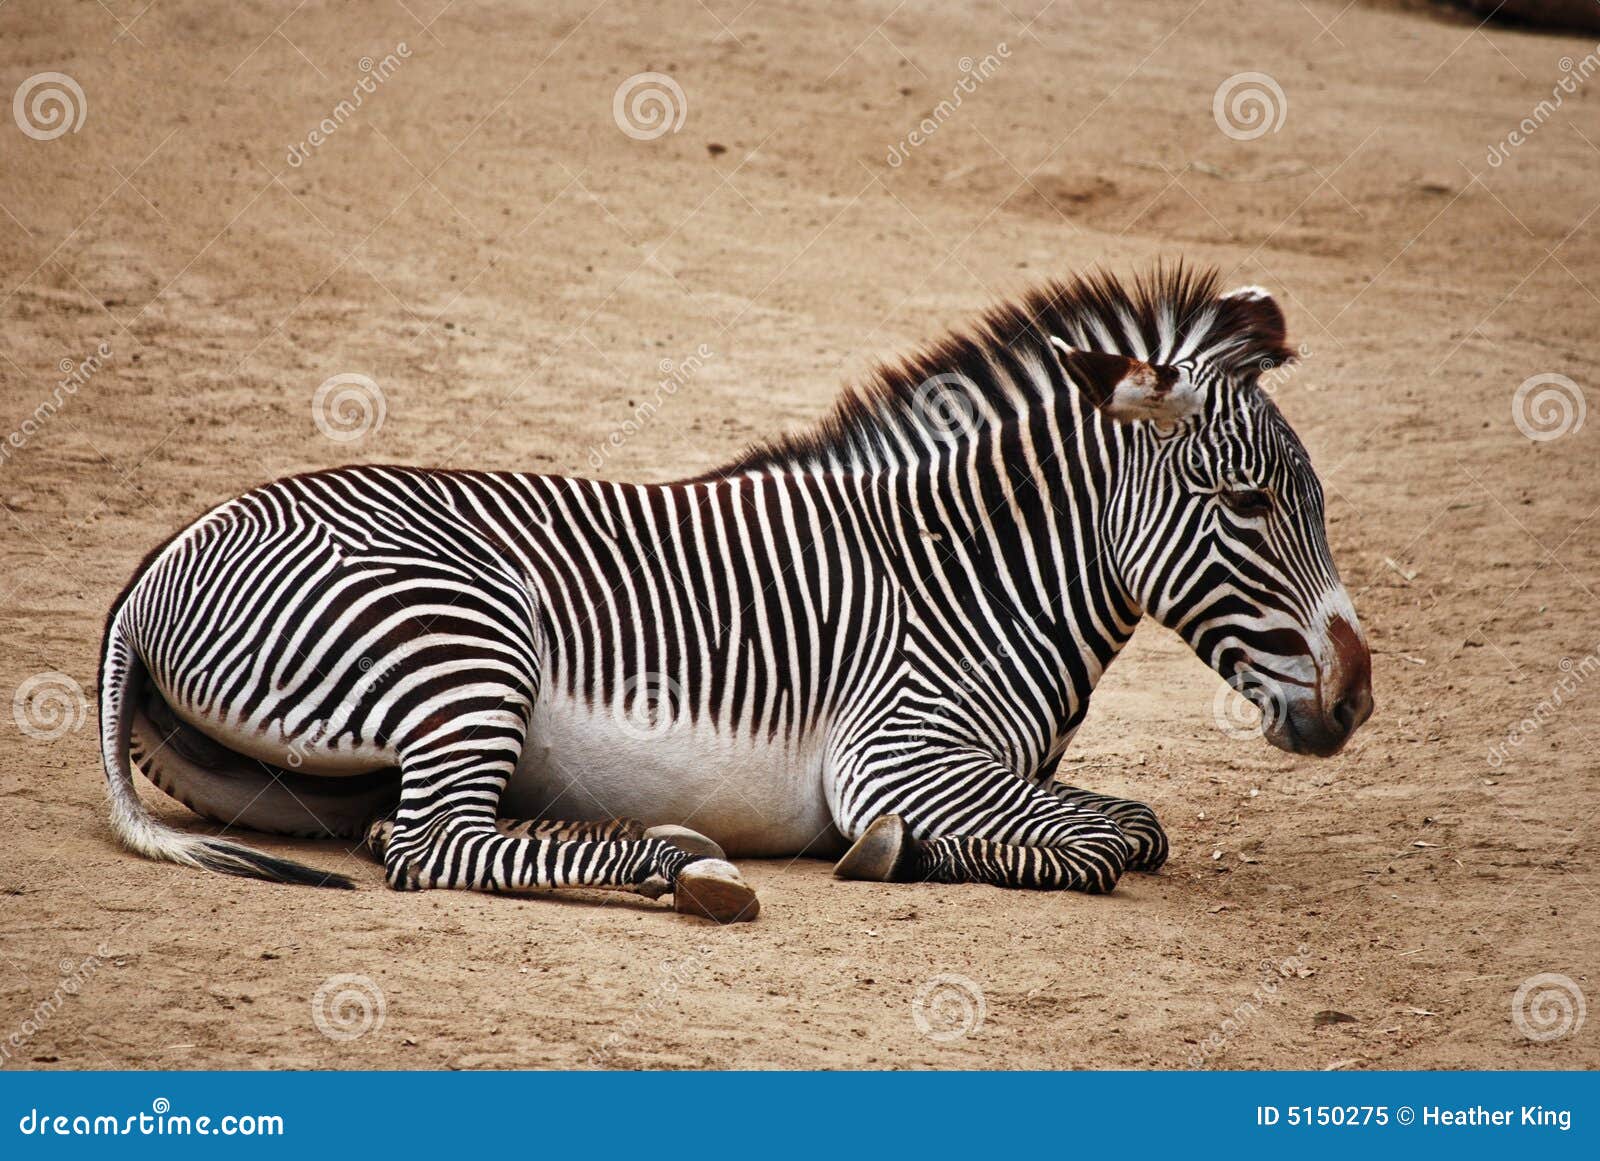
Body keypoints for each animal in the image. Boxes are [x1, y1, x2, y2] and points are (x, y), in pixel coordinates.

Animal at [98, 265, 1373, 922]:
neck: (973, 573)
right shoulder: (897, 759)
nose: (1355, 700)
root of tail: (162, 560)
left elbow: (1126, 827)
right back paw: (677, 866)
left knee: (396, 829)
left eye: (1309, 501)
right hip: (464, 637)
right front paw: (891, 853)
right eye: (1249, 503)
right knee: (432, 846)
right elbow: (1118, 838)